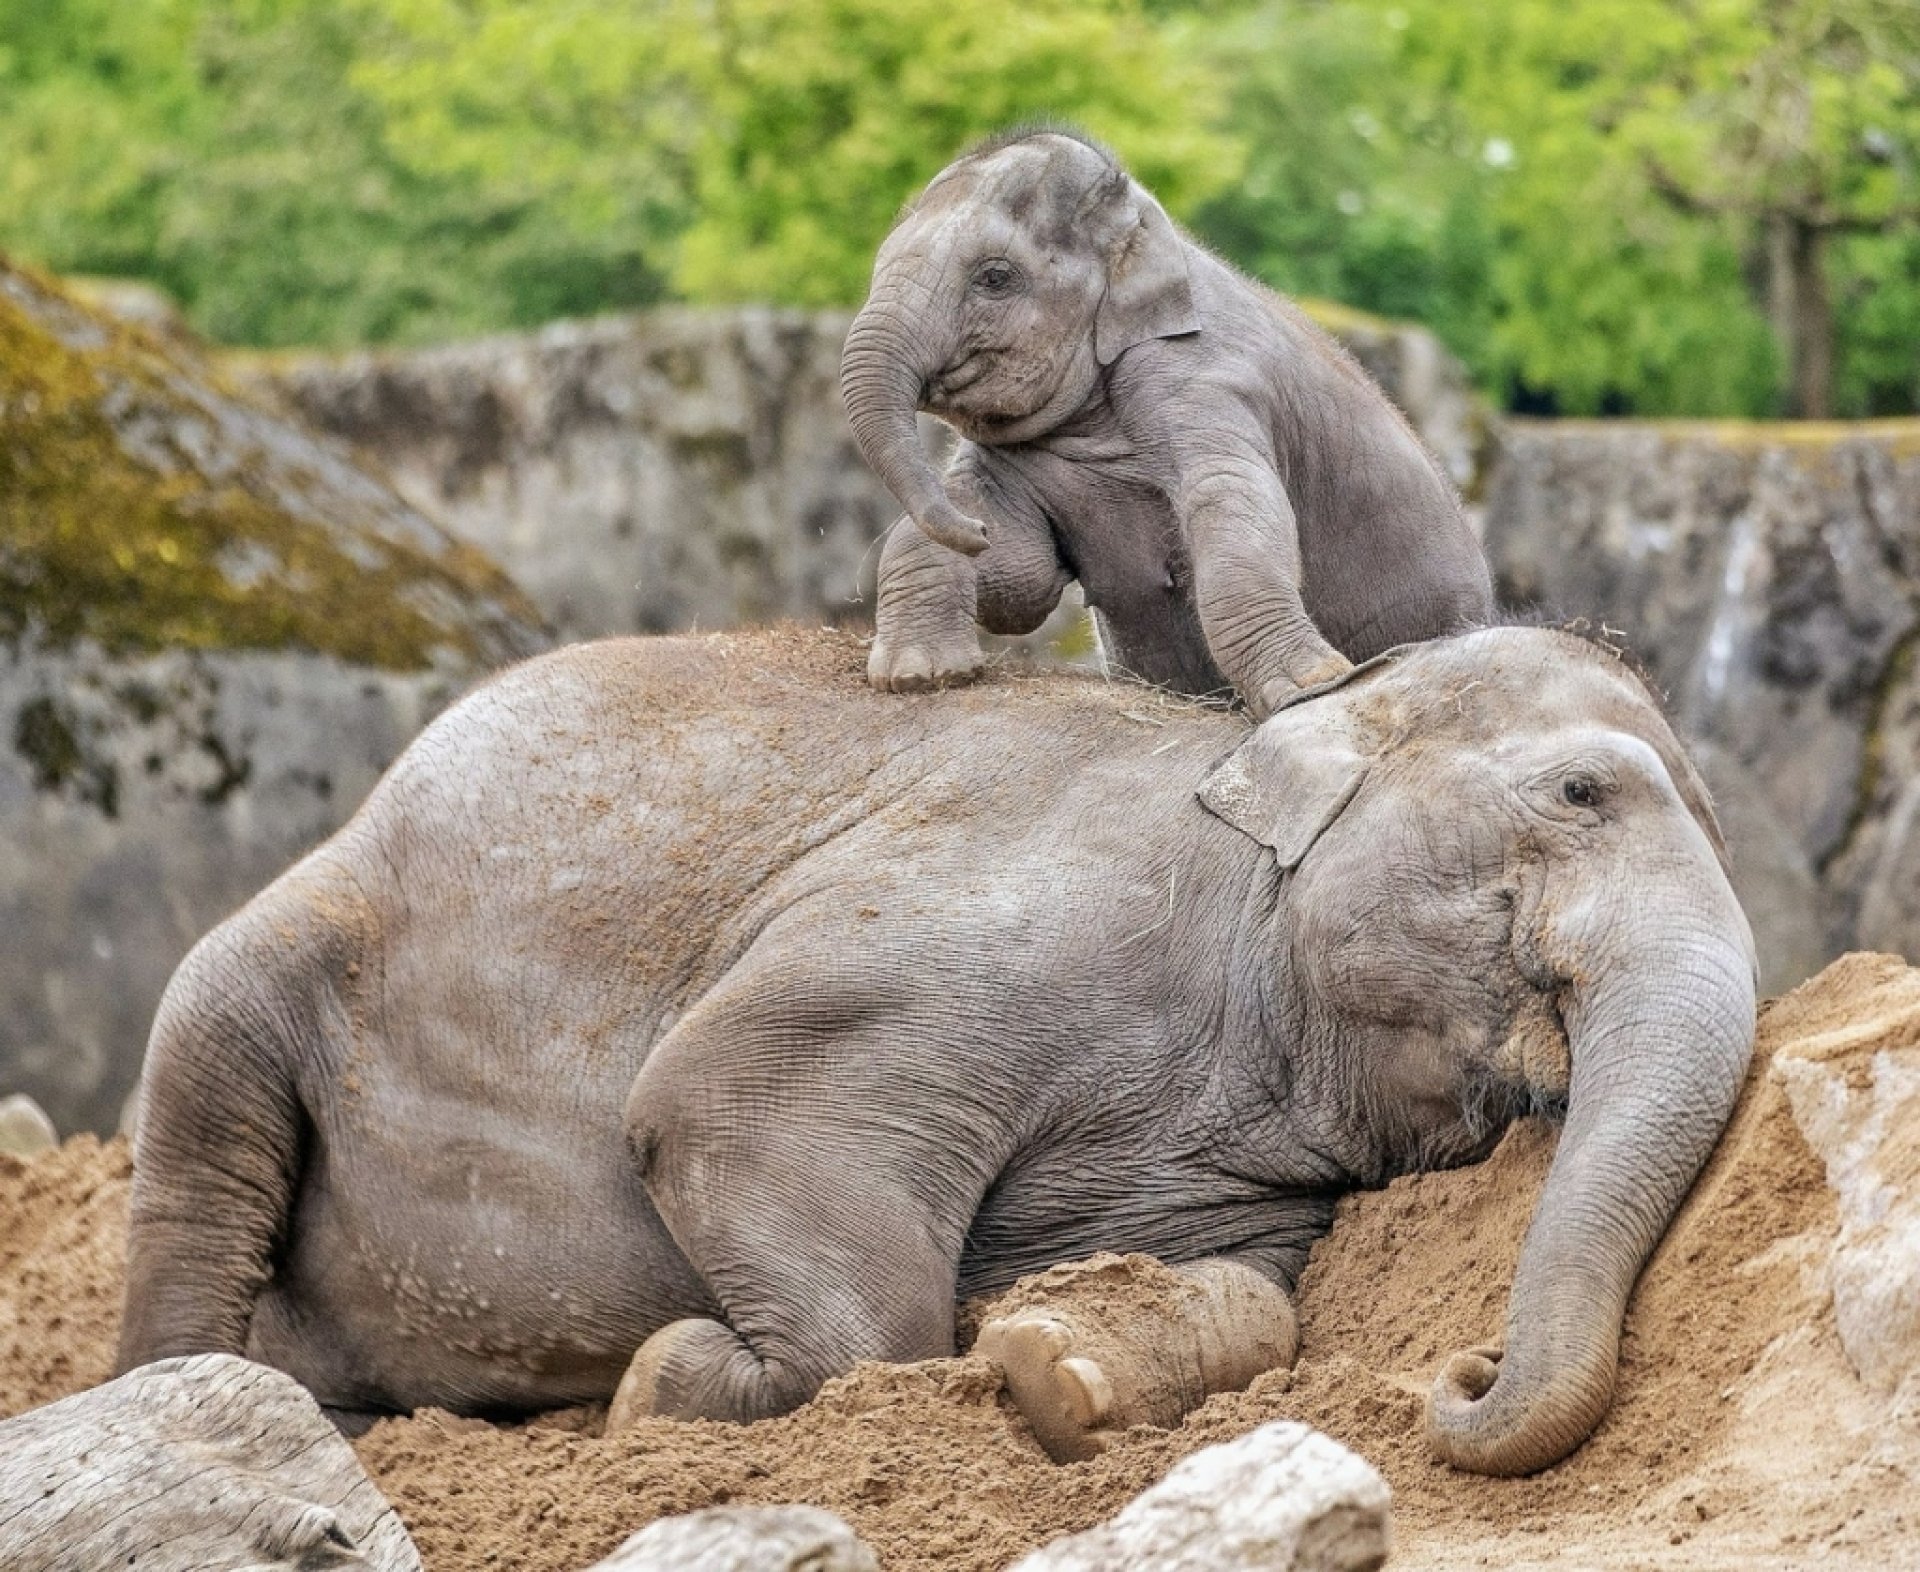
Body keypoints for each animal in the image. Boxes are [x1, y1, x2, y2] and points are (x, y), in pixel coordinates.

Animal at [118, 622, 1756, 1477]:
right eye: (1583, 793)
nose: (1462, 1372)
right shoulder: (980, 936)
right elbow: (720, 1108)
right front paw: (668, 1384)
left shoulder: (1230, 1151)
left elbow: (1260, 1295)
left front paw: (1053, 1369)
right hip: (298, 944)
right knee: (202, 1116)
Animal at [841, 128, 1493, 716]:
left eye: (995, 277)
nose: (972, 531)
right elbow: (1023, 576)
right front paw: (919, 677)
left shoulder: (1205, 381)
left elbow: (1229, 499)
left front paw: (1314, 686)